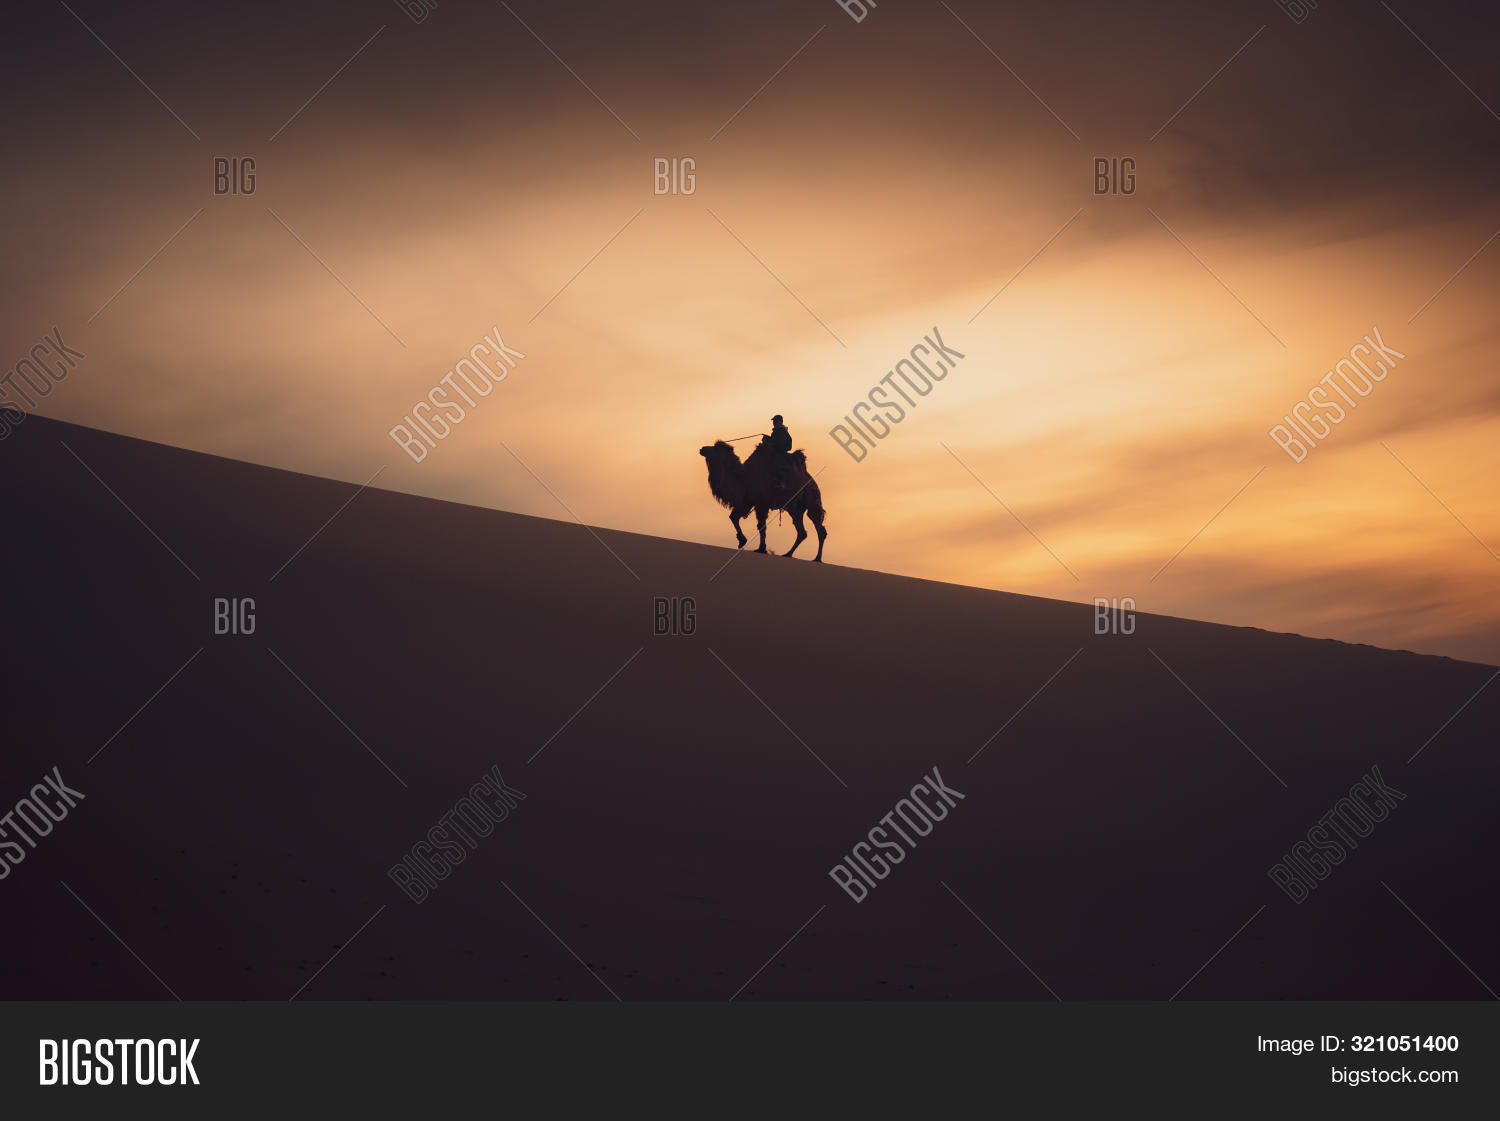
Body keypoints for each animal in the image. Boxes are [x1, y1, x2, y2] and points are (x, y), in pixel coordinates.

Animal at [699, 440, 827, 561]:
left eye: (715, 448)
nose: (702, 448)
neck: (744, 480)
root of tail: (812, 482)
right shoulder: (748, 502)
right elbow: (734, 517)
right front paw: (743, 541)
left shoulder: (761, 504)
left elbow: (761, 526)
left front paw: (759, 548)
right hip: (796, 508)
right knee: (803, 531)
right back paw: (790, 554)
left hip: (809, 501)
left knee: (816, 526)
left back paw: (815, 558)